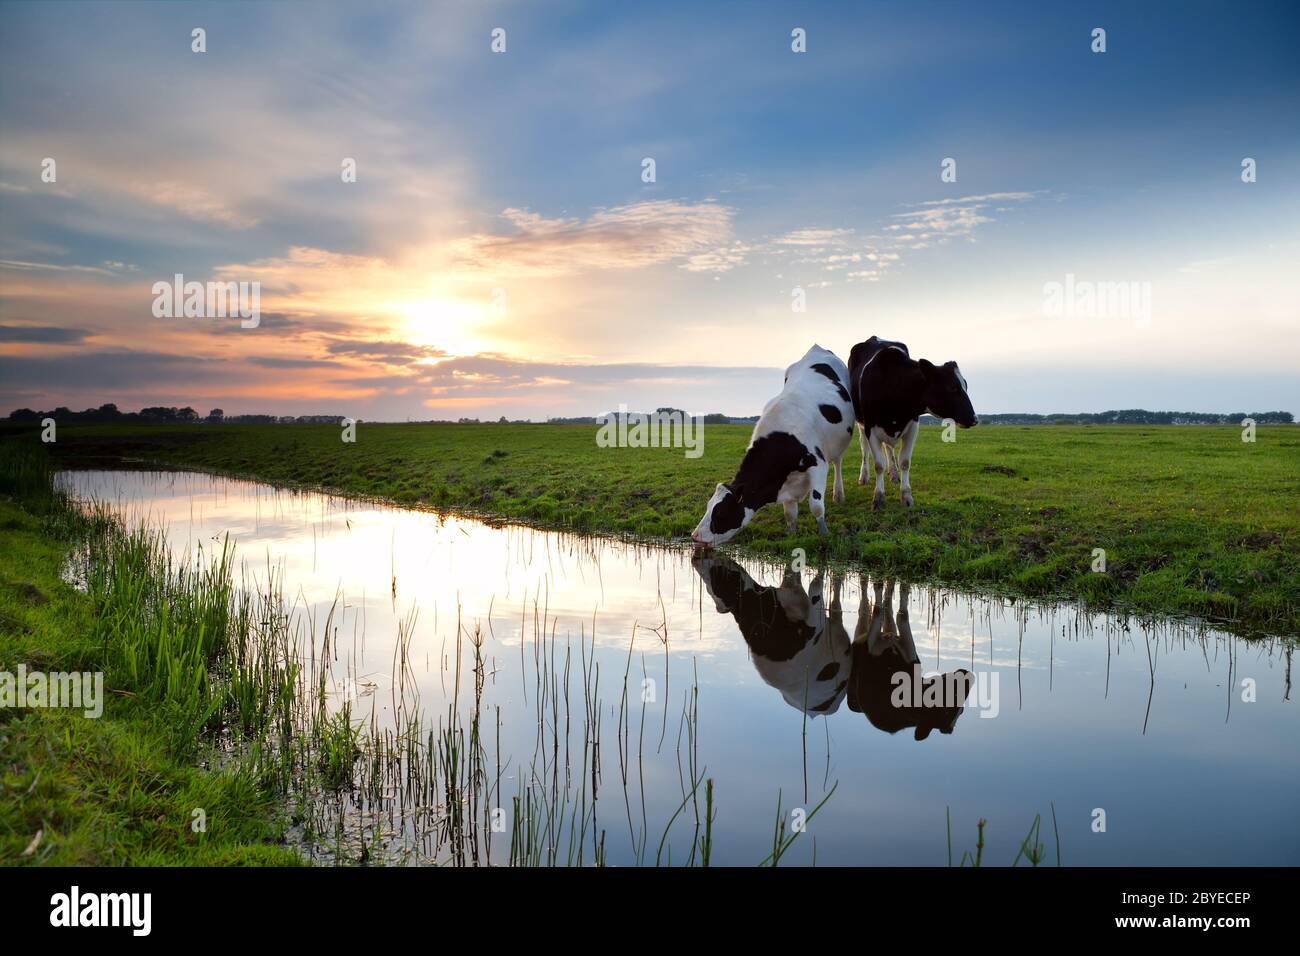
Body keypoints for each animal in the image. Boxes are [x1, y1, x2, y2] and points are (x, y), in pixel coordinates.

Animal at [692, 344, 854, 546]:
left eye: (720, 512)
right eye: (708, 506)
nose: (695, 535)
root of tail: (816, 348)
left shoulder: (818, 465)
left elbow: (816, 506)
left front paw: (824, 534)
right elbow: (790, 514)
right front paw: (791, 534)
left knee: (838, 462)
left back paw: (838, 495)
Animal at [847, 335, 977, 510]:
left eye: (965, 386)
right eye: (952, 387)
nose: (974, 419)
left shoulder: (912, 427)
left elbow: (905, 462)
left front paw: (906, 496)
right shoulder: (870, 427)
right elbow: (879, 465)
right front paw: (878, 498)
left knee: (888, 448)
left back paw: (894, 475)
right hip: (861, 424)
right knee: (864, 447)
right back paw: (864, 476)